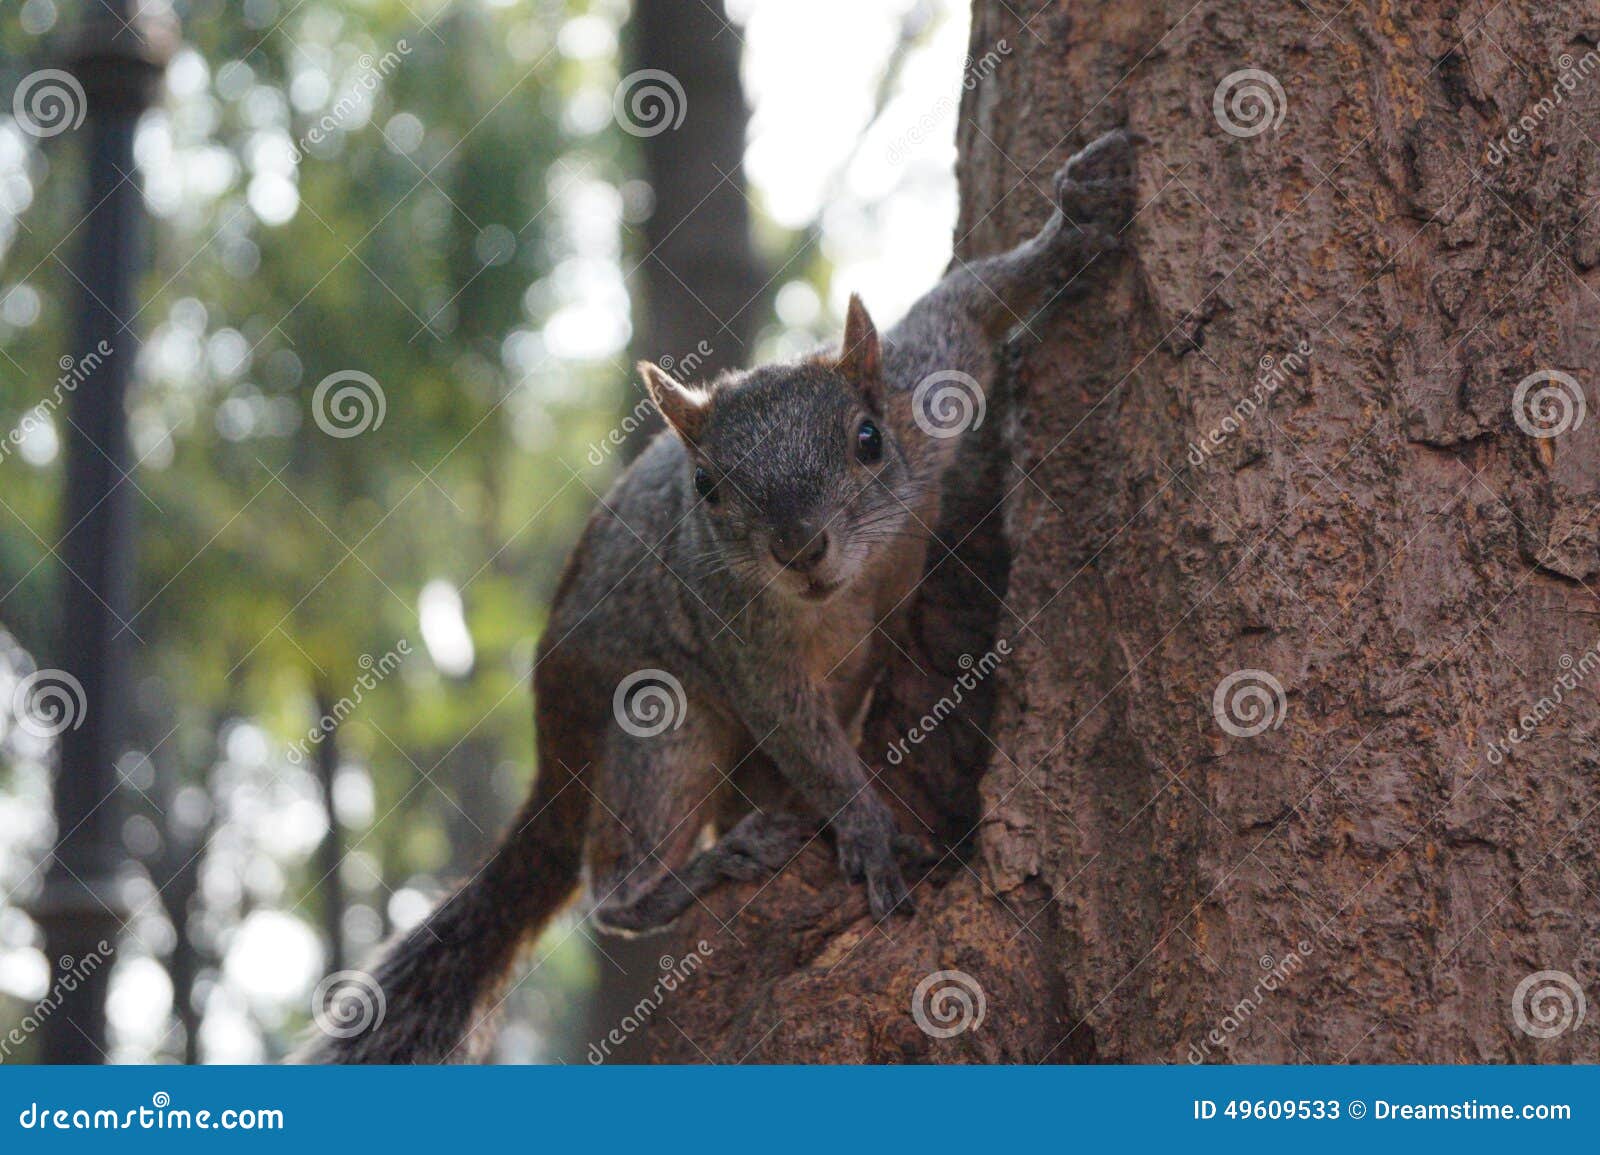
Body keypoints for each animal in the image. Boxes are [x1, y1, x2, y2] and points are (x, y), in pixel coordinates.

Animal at [299, 127, 1141, 1063]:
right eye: (705, 487)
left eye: (868, 438)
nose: (799, 549)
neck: (842, 593)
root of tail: (554, 740)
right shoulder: (737, 635)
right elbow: (803, 733)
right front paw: (868, 827)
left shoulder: (931, 383)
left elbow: (971, 298)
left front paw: (1072, 224)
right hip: (659, 725)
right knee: (612, 887)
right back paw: (700, 868)